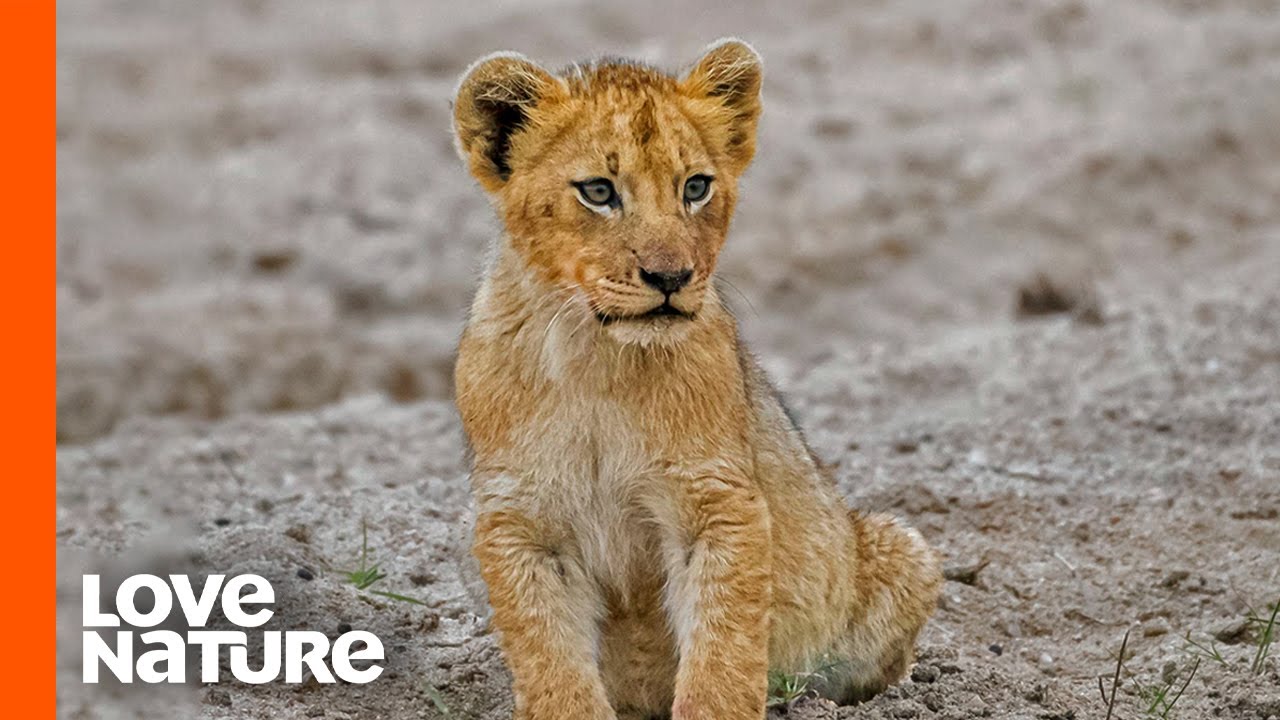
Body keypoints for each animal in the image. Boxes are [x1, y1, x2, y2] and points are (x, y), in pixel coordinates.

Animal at [450, 39, 942, 720]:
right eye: (599, 190)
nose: (671, 277)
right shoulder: (521, 522)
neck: (595, 357)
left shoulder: (715, 502)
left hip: (899, 549)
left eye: (696, 187)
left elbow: (722, 653)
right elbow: (551, 664)